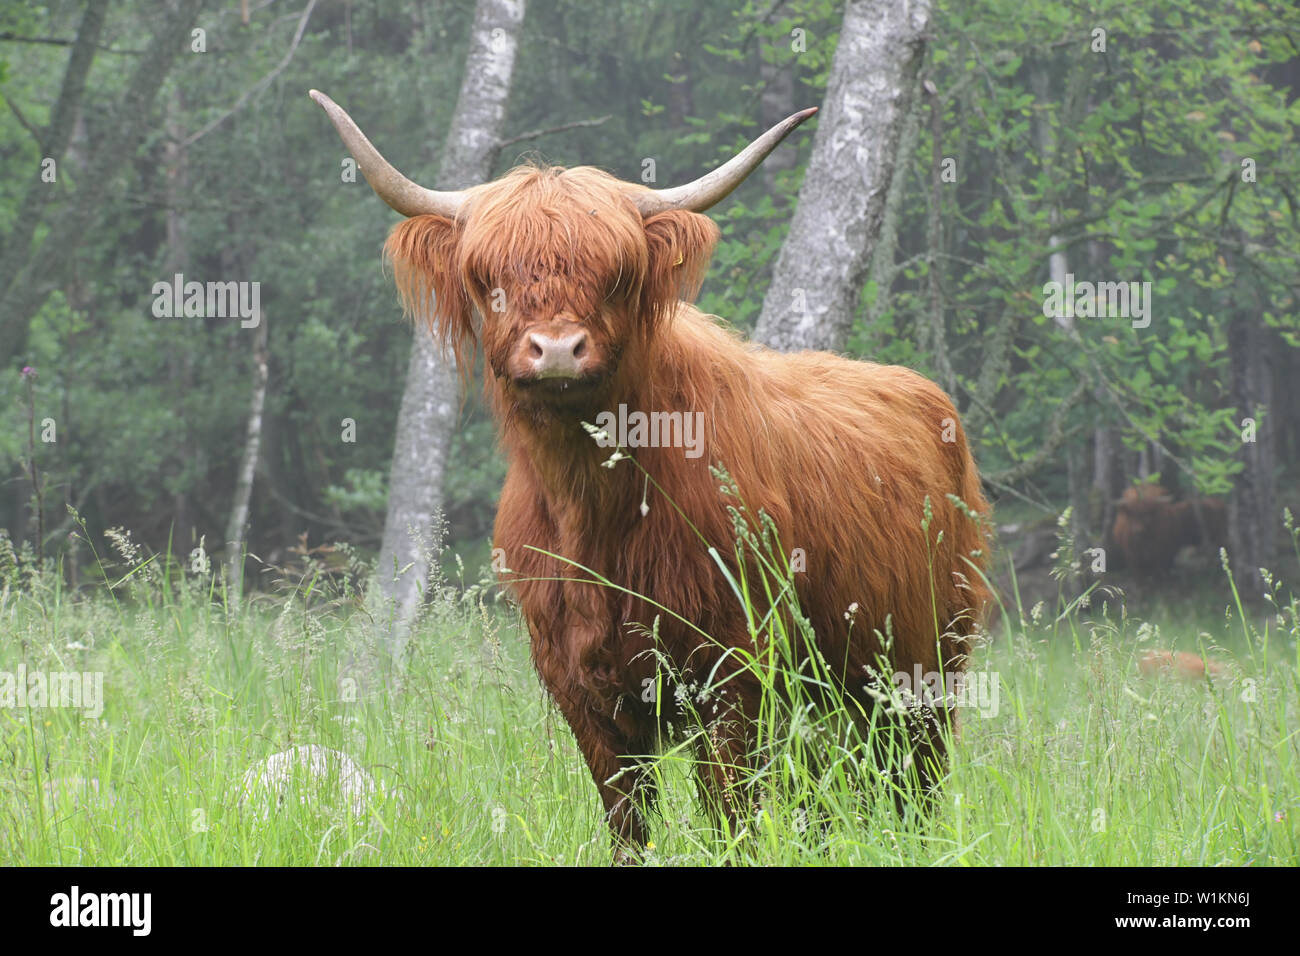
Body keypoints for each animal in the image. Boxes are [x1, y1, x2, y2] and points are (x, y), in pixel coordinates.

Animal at [312, 91, 991, 860]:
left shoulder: (735, 671)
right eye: (492, 282)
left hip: (924, 668)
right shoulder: (581, 689)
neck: (593, 506)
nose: (556, 349)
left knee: (913, 787)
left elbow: (731, 813)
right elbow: (628, 821)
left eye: (615, 277)